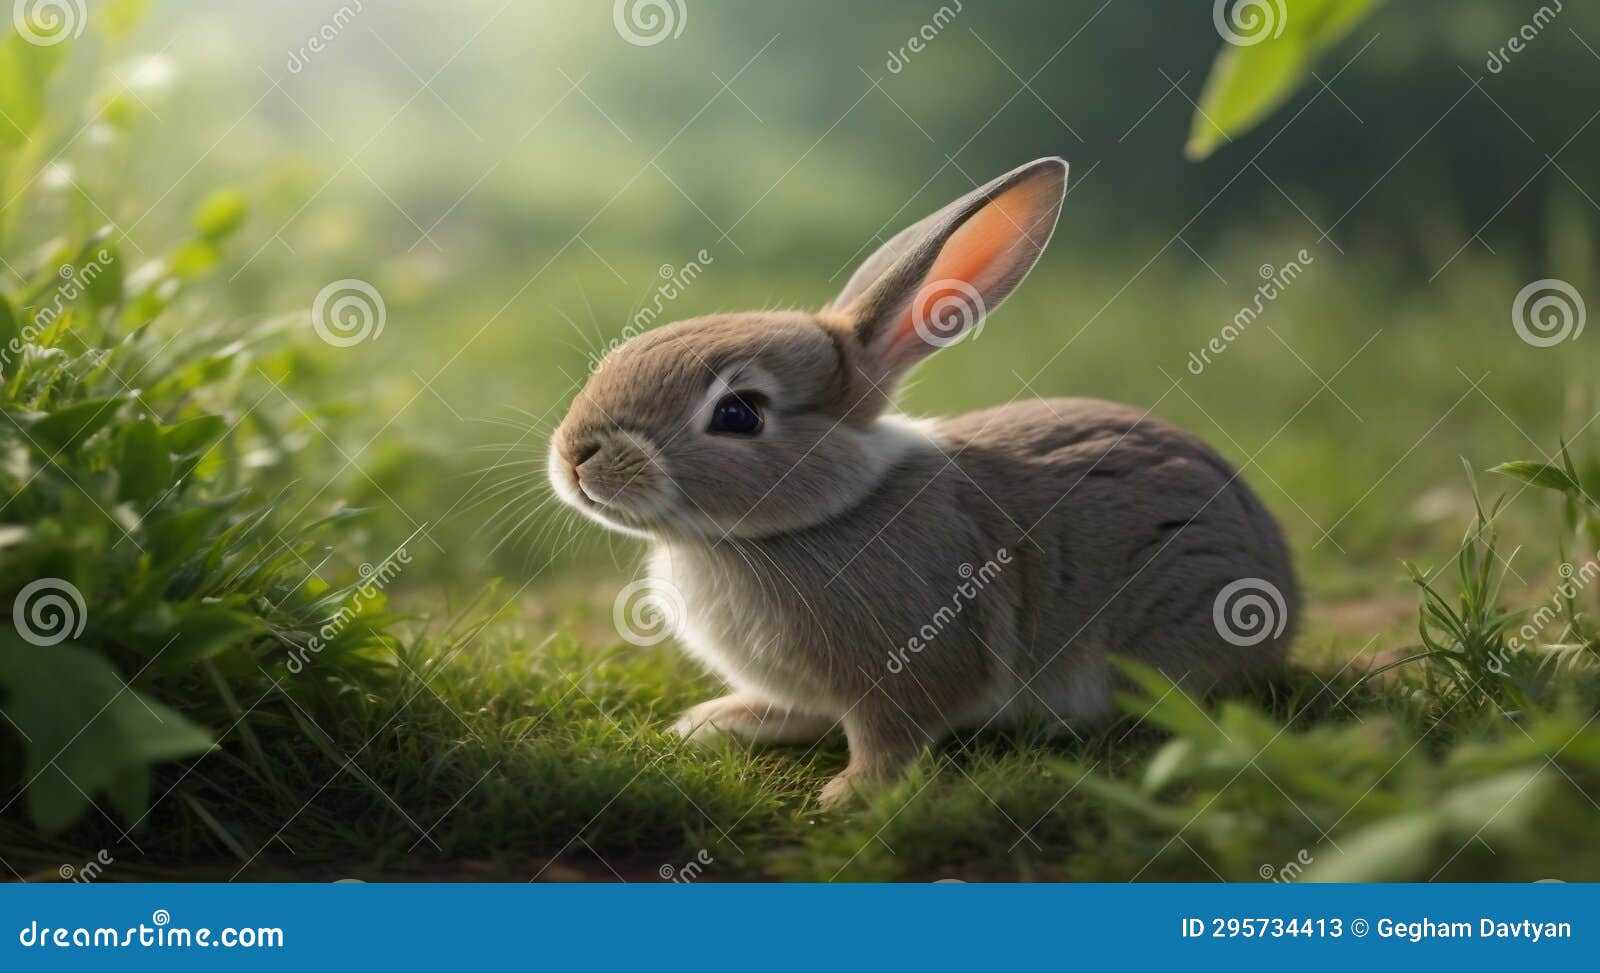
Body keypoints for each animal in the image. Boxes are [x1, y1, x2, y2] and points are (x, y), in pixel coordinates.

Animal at [548, 157, 1298, 806]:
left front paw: (849, 795)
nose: (576, 456)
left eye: (738, 414)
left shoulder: (908, 670)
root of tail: (1284, 594)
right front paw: (711, 722)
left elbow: (889, 737)